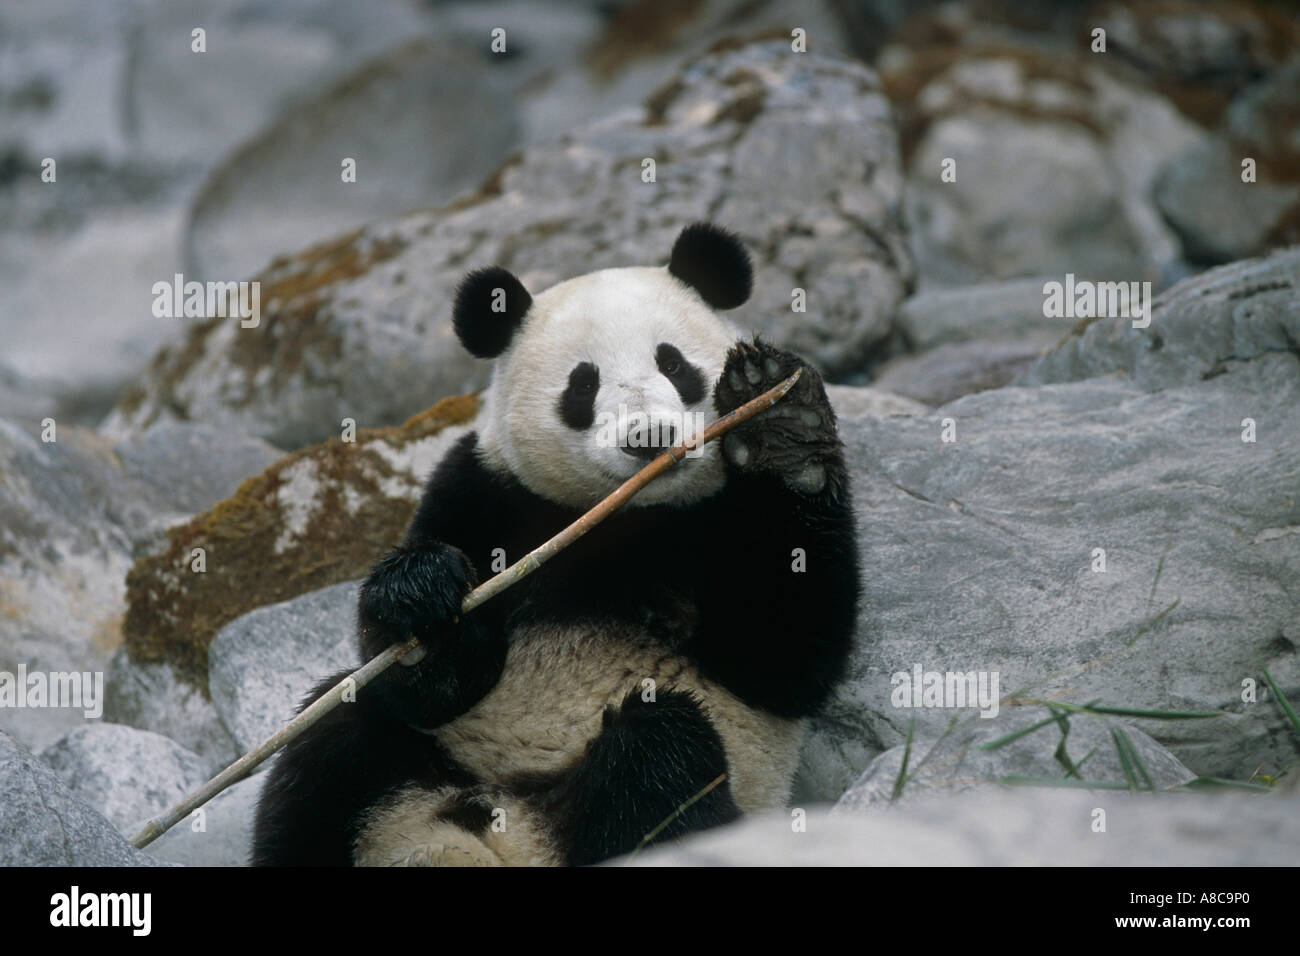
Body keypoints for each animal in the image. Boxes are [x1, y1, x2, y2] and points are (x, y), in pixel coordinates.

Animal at [251, 222, 861, 866]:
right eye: (583, 384)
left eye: (674, 364)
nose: (649, 437)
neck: (622, 514)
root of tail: (514, 836)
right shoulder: (485, 493)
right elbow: (438, 685)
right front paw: (420, 598)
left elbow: (782, 655)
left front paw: (780, 424)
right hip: (429, 762)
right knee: (332, 743)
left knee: (662, 756)